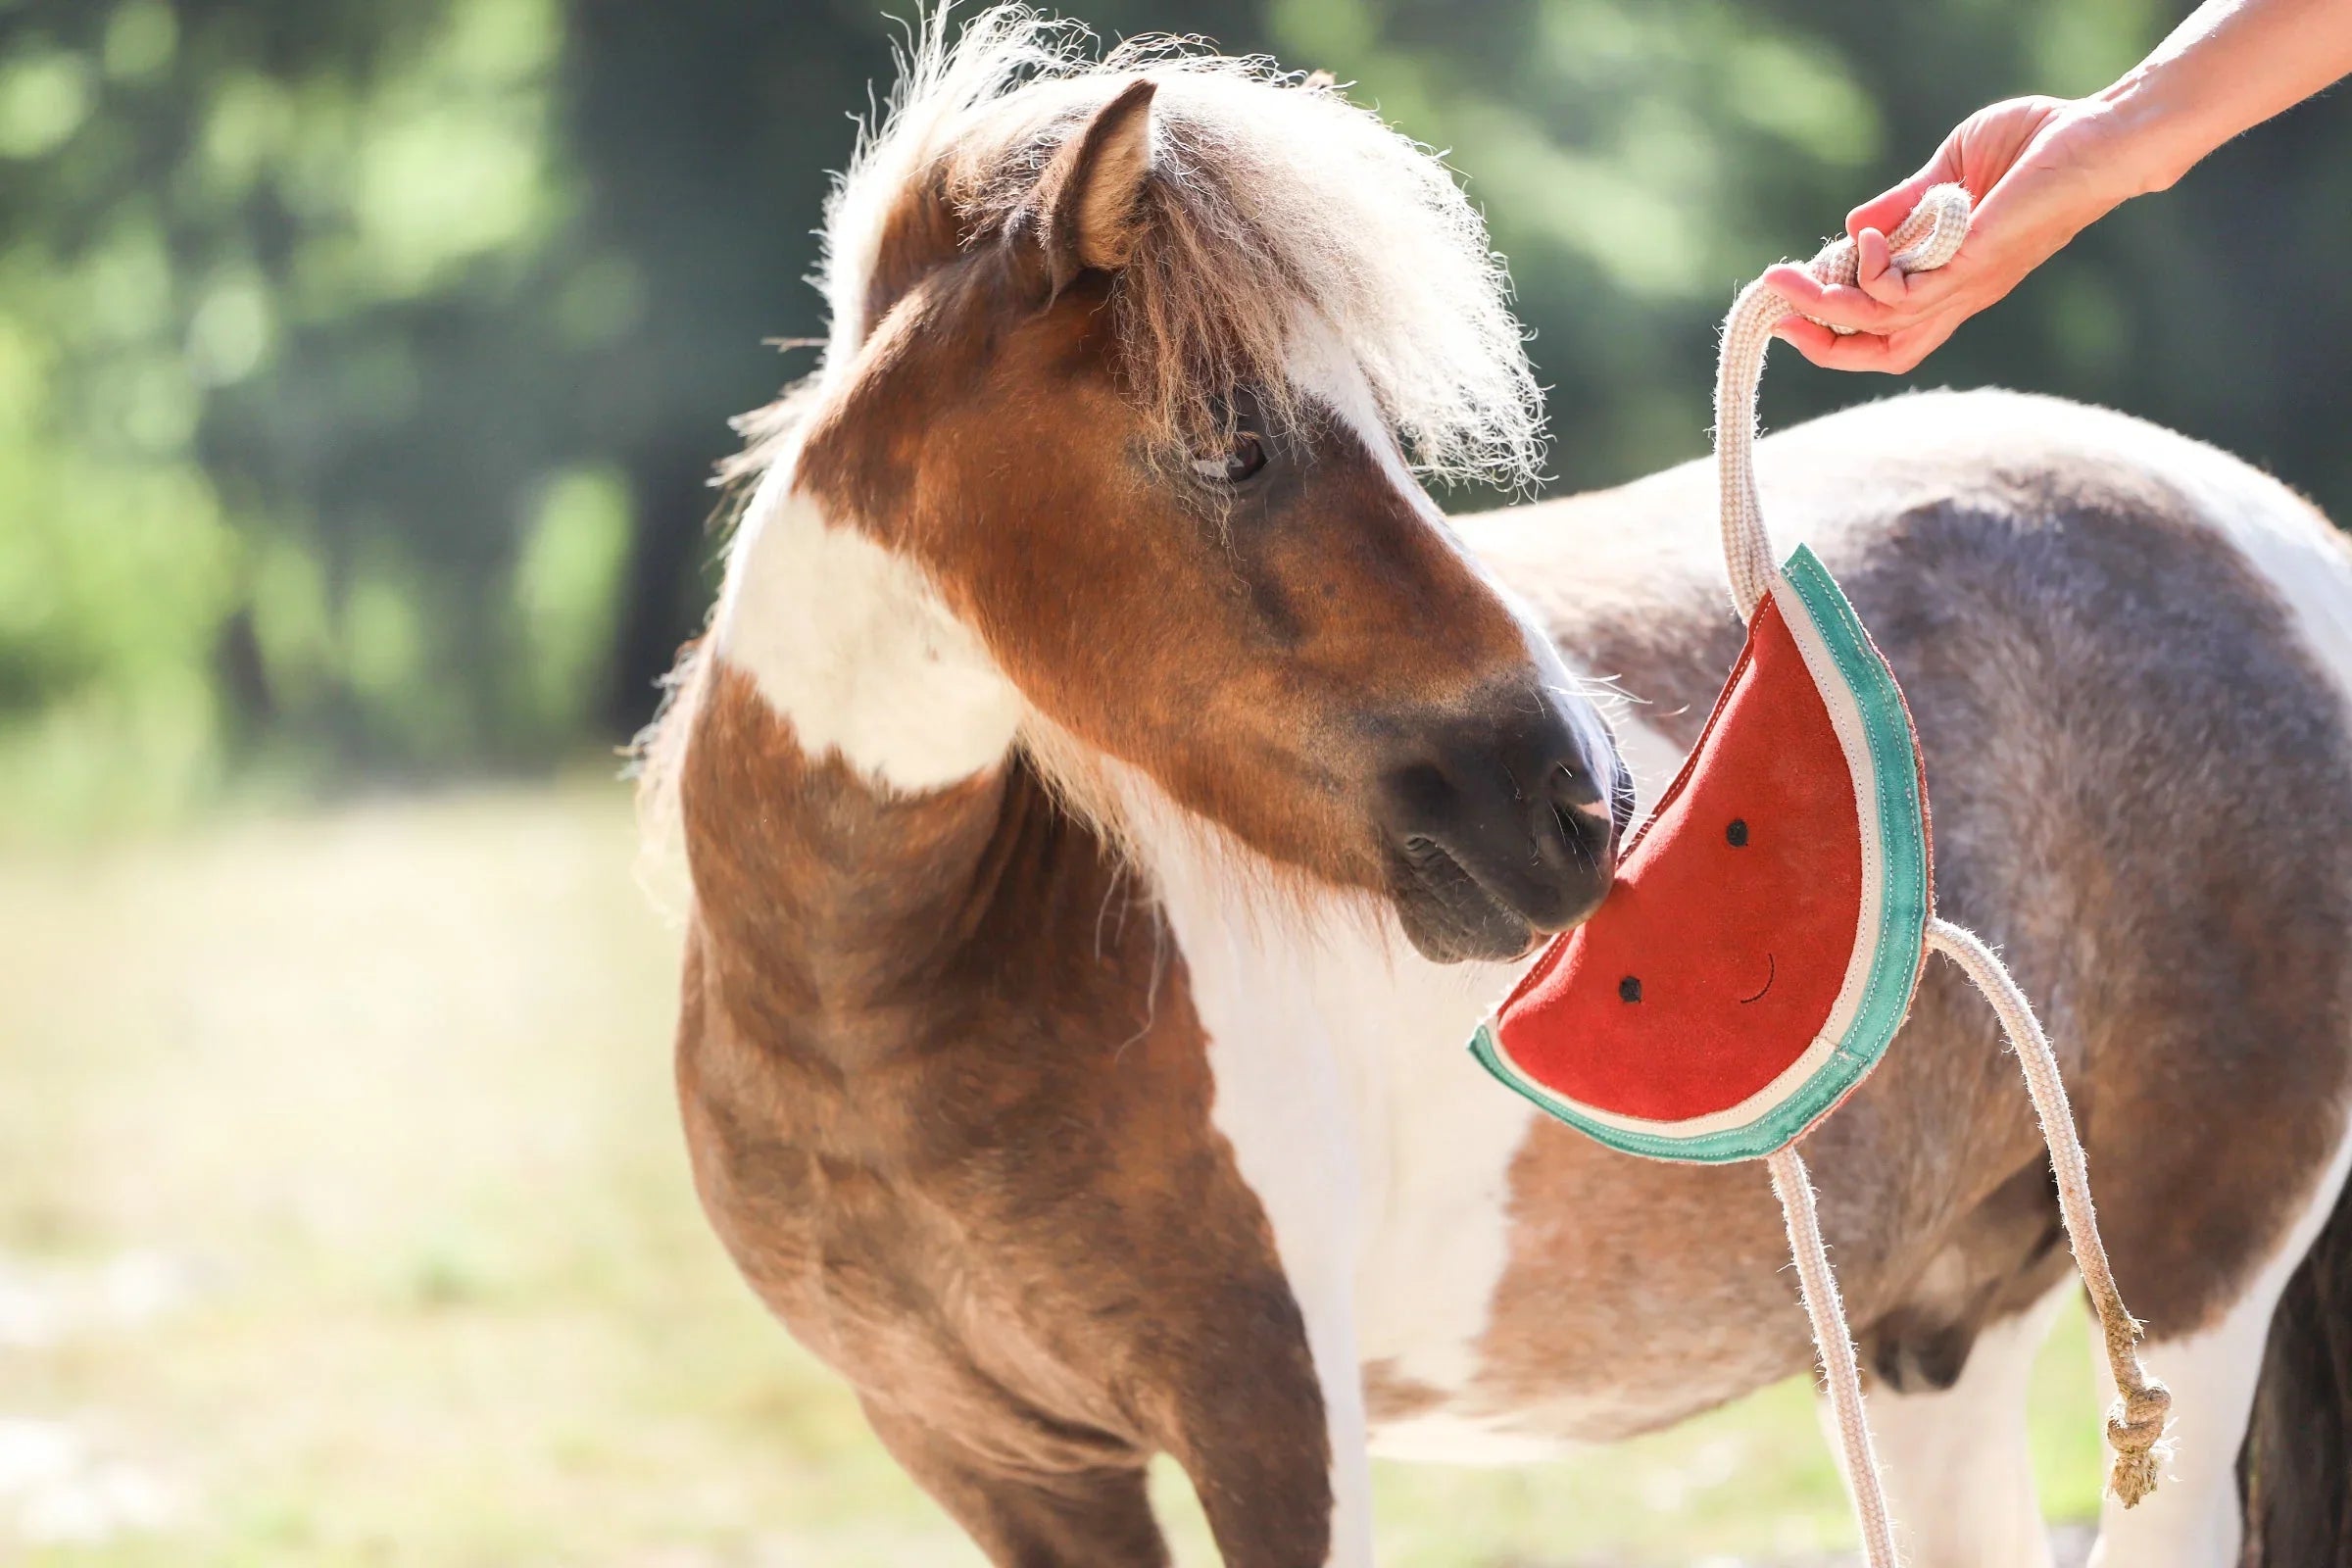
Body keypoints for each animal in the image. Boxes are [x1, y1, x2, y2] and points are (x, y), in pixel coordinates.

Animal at [635, 10, 2352, 1565]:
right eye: (1234, 443)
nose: (1585, 804)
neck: (881, 995)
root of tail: (2290, 552)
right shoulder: (1006, 1467)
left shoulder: (1274, 1424)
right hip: (1930, 1343)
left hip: (2186, 1292)